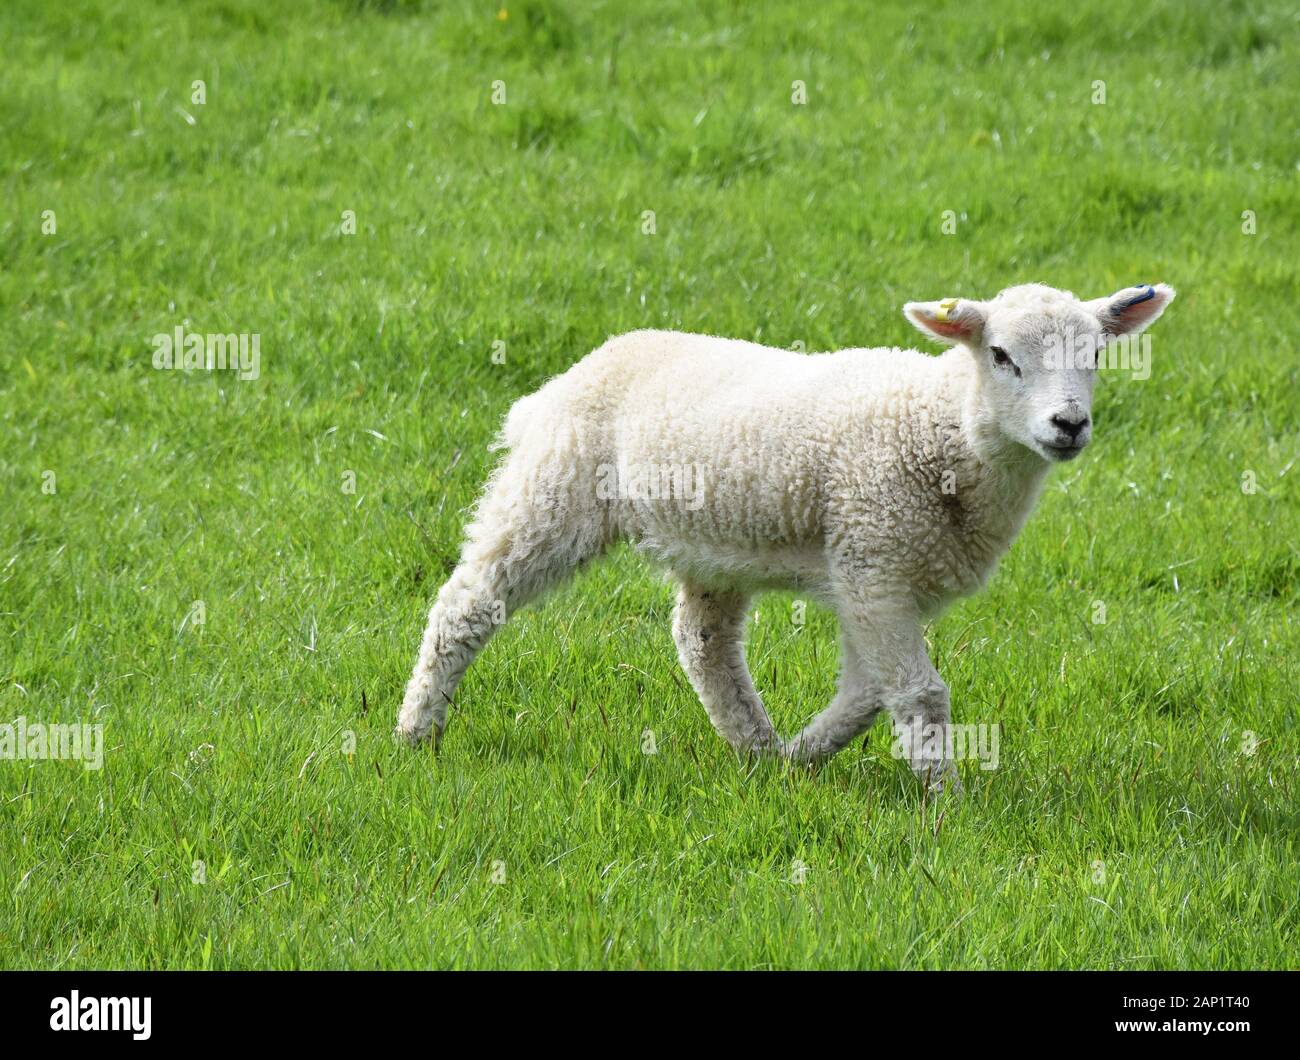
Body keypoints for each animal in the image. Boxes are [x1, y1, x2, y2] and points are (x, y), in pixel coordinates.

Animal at [395, 282, 1175, 791]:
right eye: (1003, 357)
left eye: (1097, 359)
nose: (1068, 425)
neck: (940, 426)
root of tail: (565, 379)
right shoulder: (874, 557)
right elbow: (918, 694)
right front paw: (946, 805)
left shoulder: (880, 574)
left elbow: (868, 694)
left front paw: (804, 760)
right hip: (553, 489)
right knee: (469, 601)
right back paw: (417, 730)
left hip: (710, 543)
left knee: (702, 641)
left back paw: (759, 750)